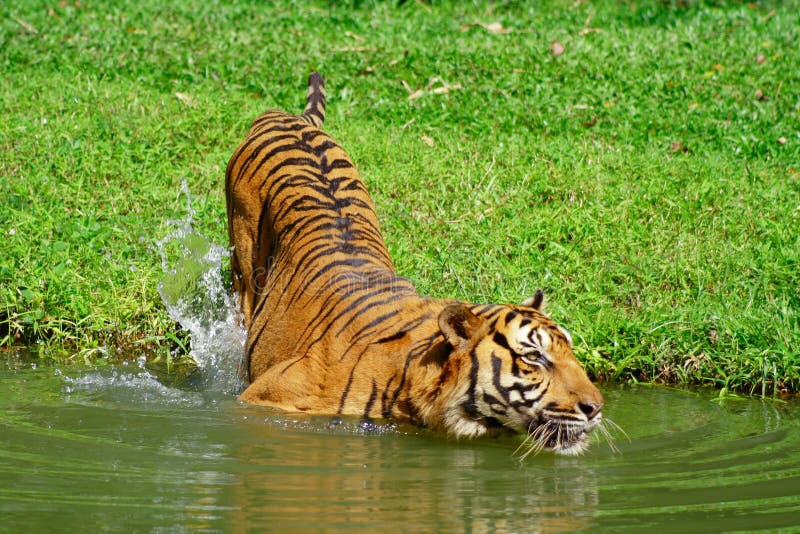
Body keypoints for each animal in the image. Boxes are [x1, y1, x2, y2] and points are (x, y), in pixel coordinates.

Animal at [225, 72, 605, 455]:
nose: (596, 407)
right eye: (535, 358)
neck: (413, 376)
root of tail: (285, 117)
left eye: (570, 352)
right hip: (243, 264)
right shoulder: (264, 398)